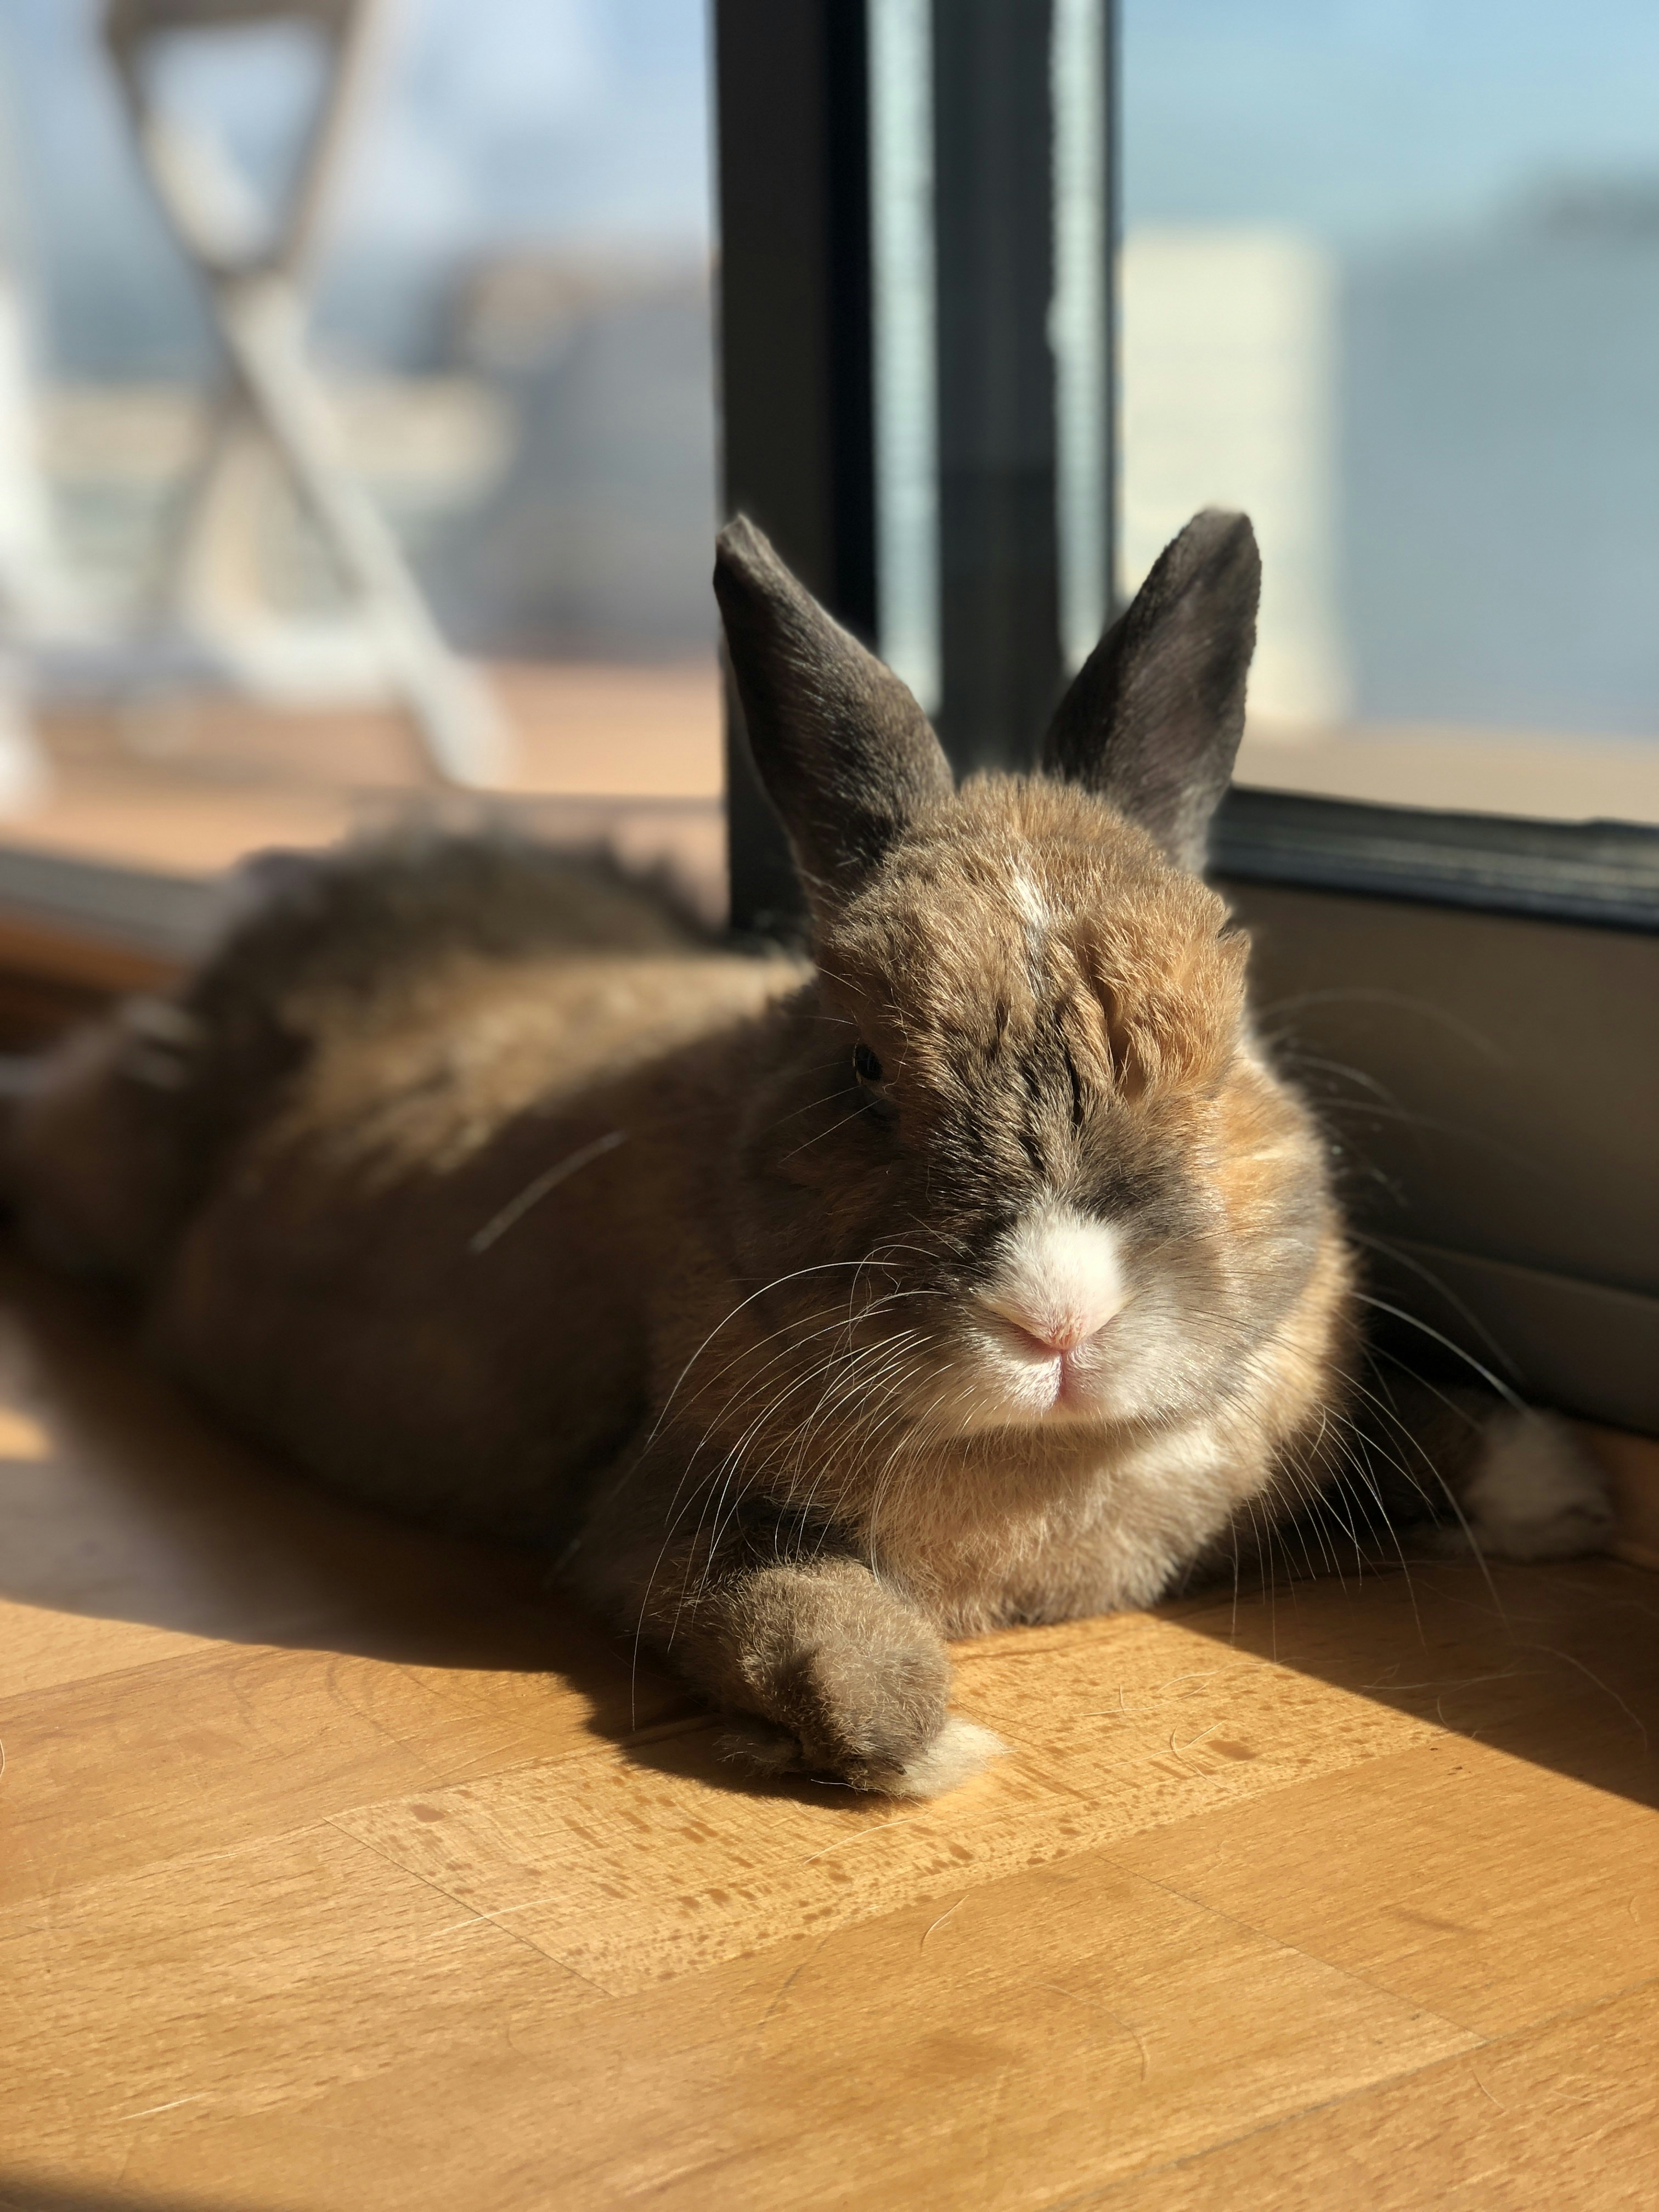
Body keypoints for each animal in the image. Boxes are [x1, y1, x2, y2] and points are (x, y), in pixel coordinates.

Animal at [2, 510, 1614, 1797]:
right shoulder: (662, 1525)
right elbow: (835, 1643)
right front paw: (935, 1754)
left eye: (1220, 1060)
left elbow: (1432, 1428)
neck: (1058, 1455)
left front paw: (1564, 1493)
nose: (1062, 1320)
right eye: (865, 1070)